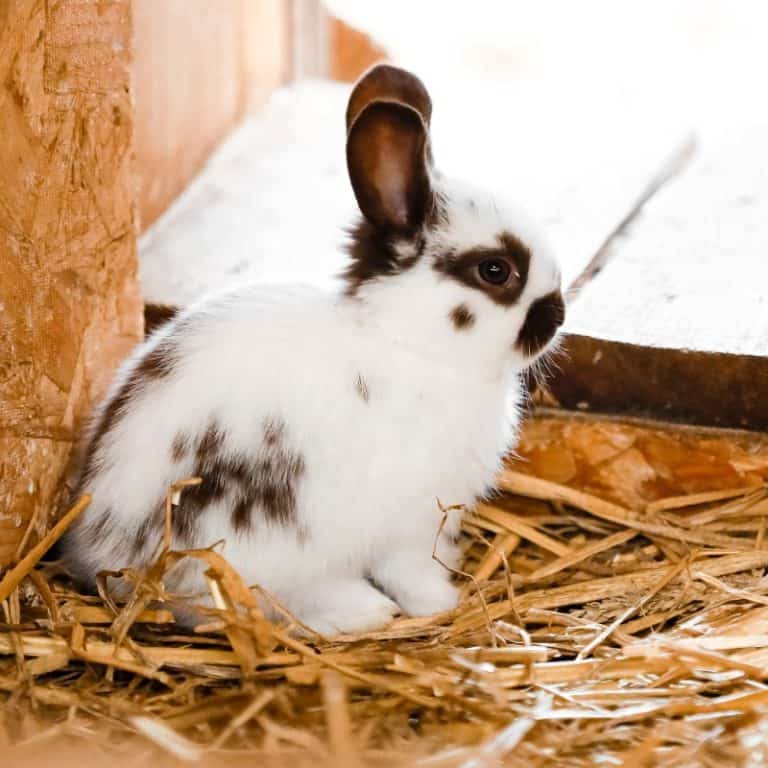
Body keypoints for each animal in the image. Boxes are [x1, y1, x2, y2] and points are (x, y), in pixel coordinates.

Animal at [59, 64, 565, 636]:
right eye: (496, 270)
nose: (558, 315)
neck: (408, 341)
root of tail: (101, 554)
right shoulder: (409, 524)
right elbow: (410, 571)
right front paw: (440, 602)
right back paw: (360, 610)